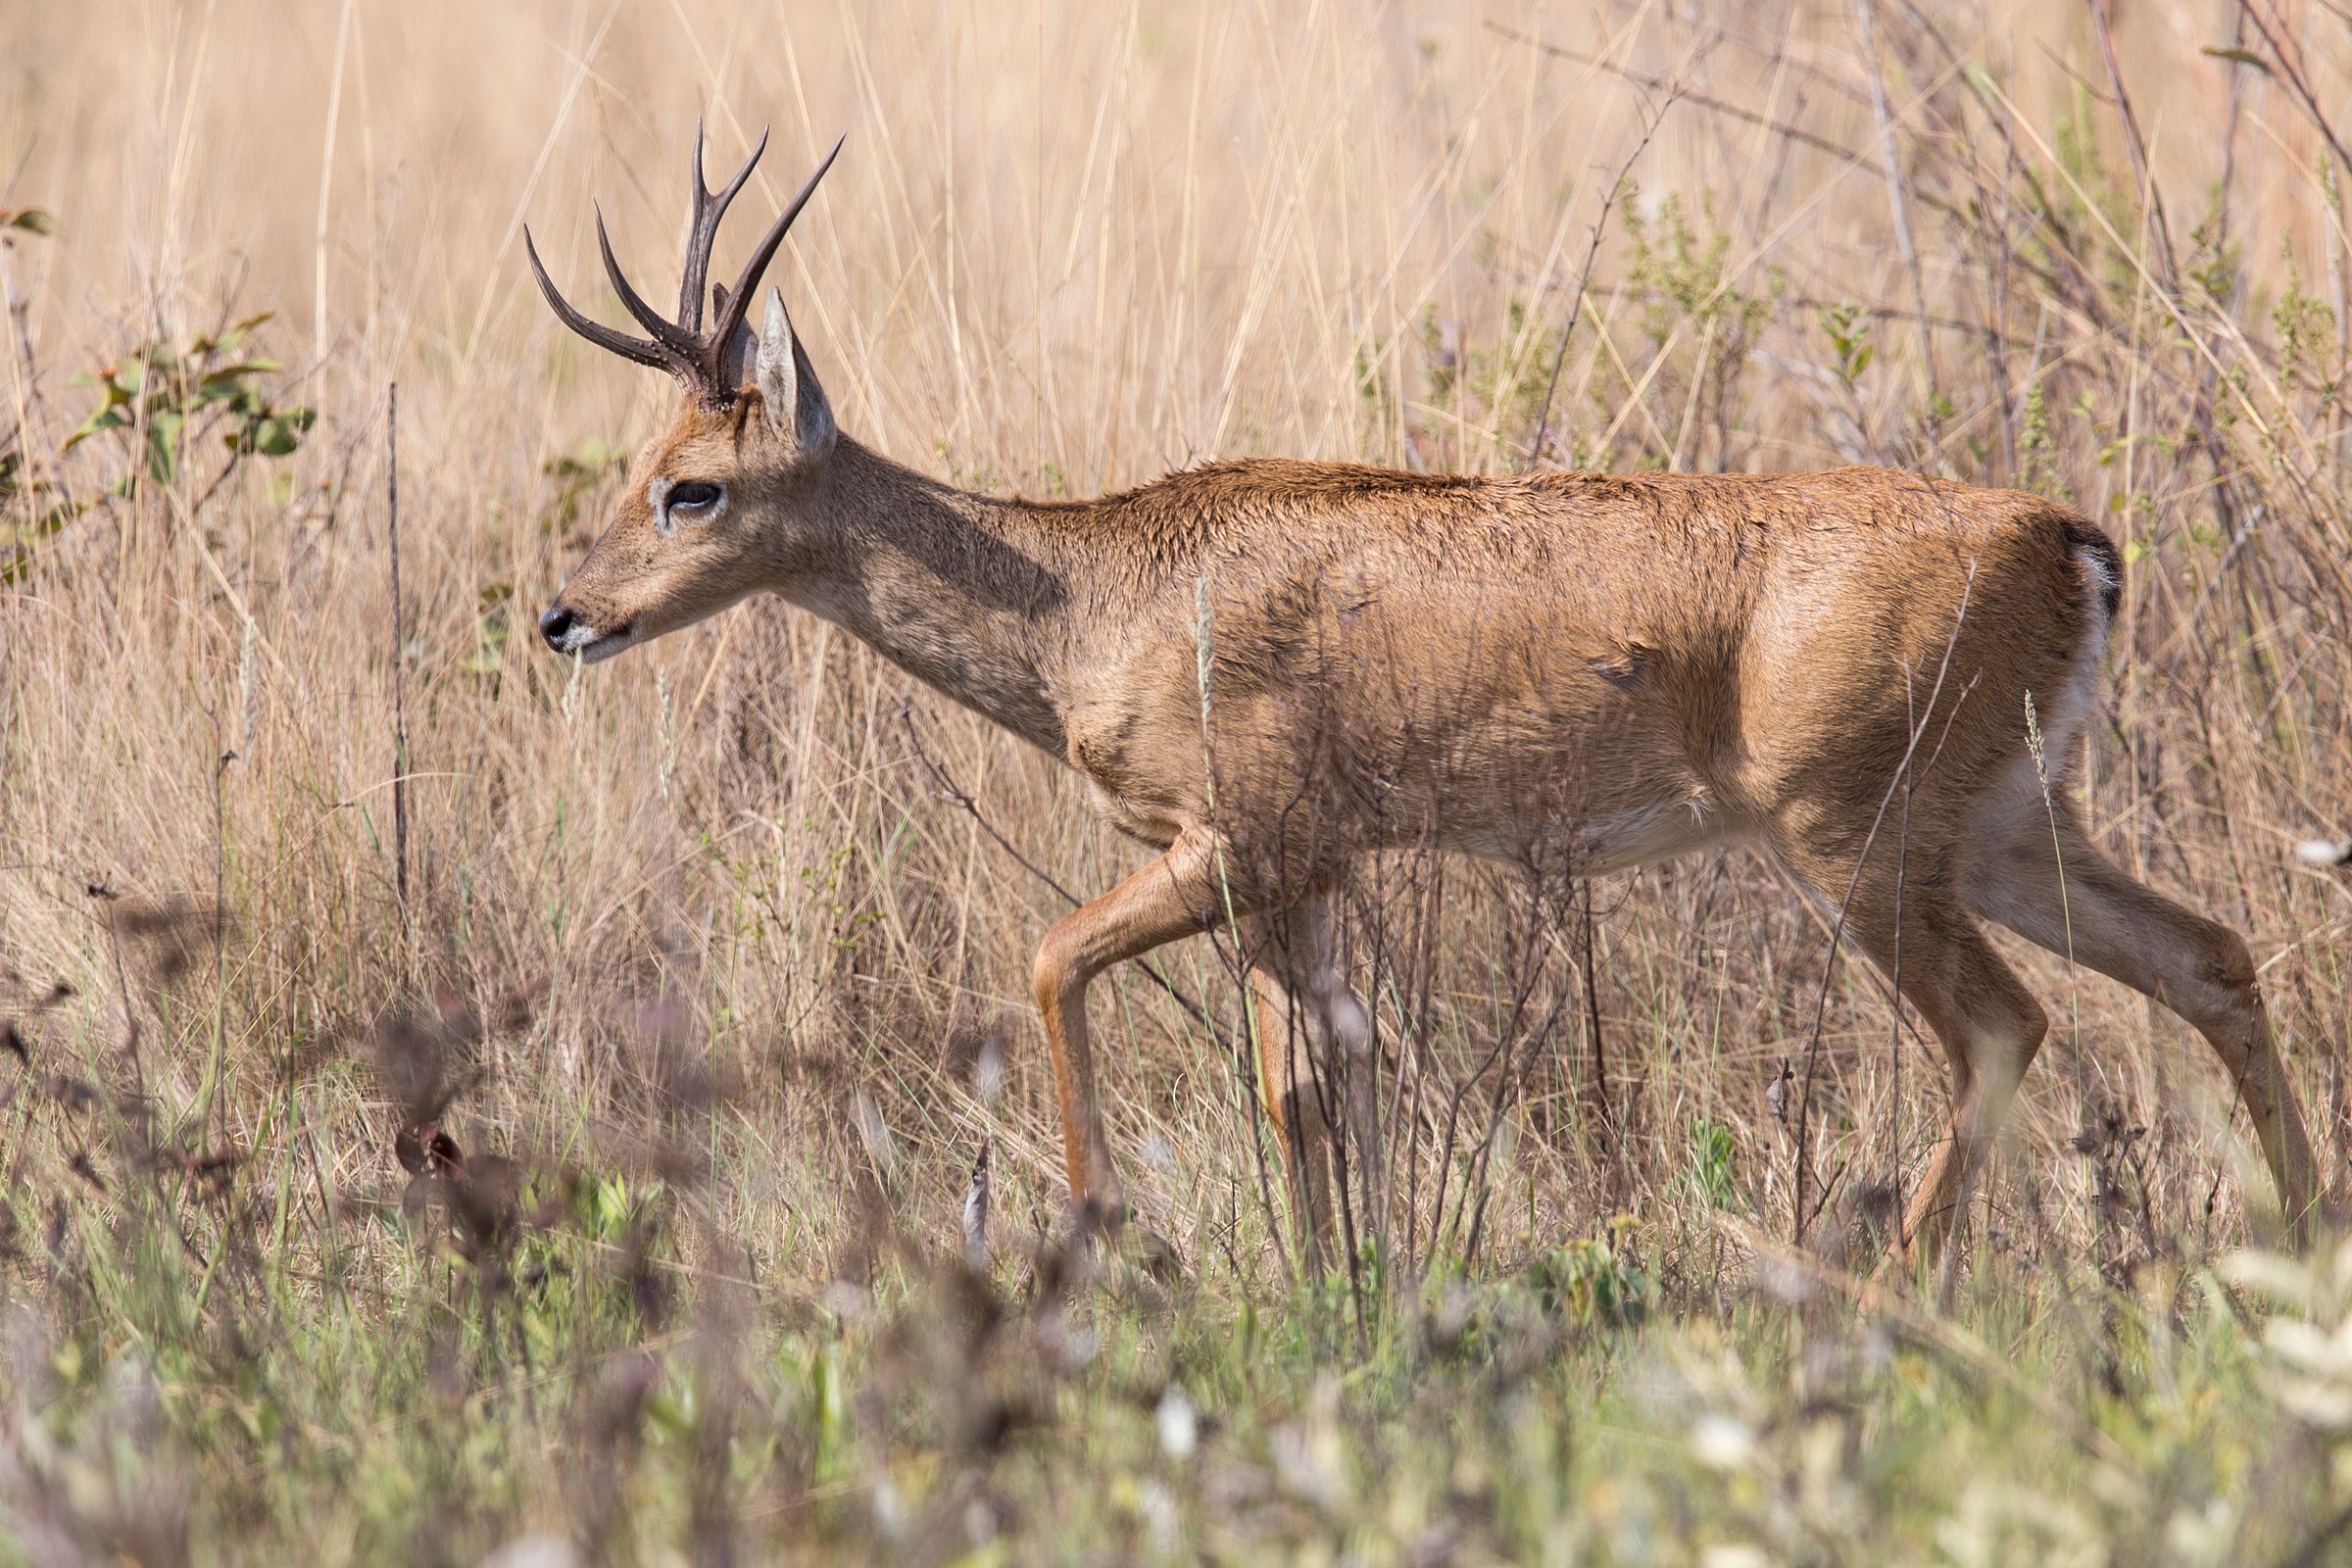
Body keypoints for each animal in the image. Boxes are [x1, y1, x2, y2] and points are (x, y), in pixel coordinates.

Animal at [526, 128, 2319, 1270]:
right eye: (634, 464)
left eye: (692, 487)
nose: (560, 616)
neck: (1090, 595)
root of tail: (2070, 537)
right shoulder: (1307, 876)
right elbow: (1311, 1086)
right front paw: (1340, 1302)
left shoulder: (1235, 845)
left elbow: (1053, 964)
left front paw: (1107, 1246)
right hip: (2012, 824)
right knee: (2213, 959)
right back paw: (2301, 1247)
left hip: (1862, 844)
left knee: (2010, 1028)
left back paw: (1889, 1301)